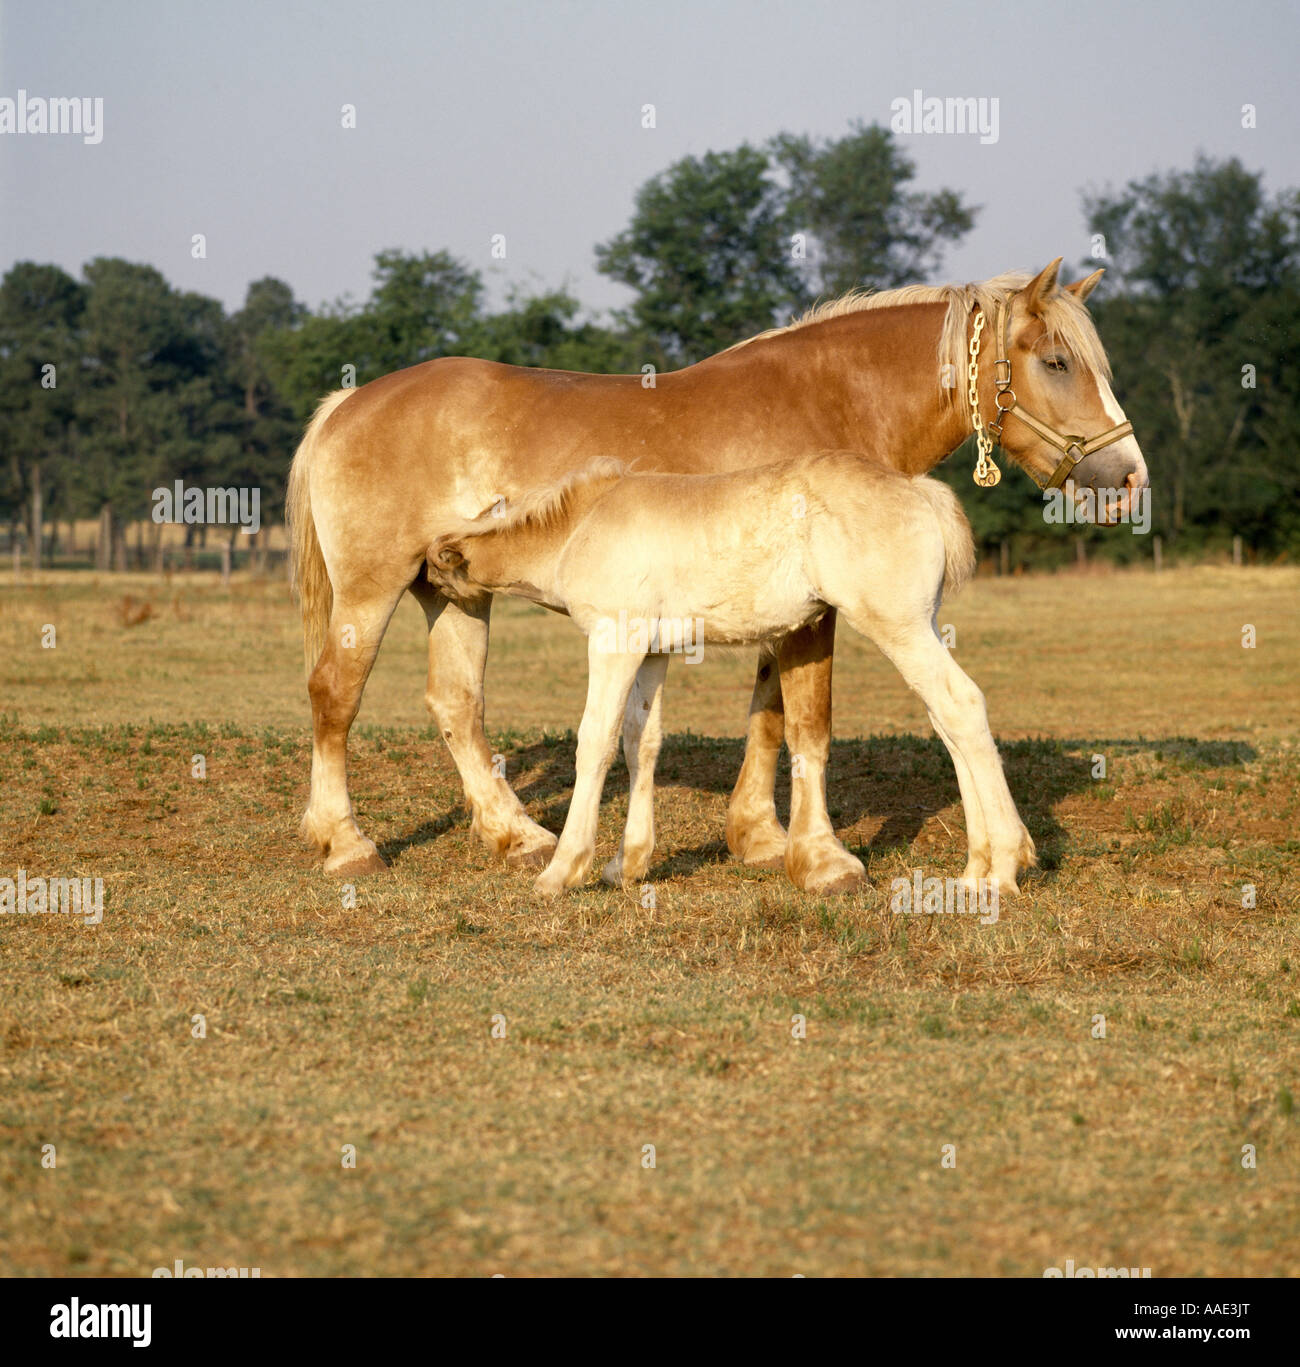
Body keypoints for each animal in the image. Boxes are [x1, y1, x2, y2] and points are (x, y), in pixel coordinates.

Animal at [424, 451, 1035, 897]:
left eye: (435, 568)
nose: (432, 598)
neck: (584, 524)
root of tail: (921, 491)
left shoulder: (614, 642)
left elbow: (594, 741)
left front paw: (561, 872)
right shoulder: (653, 653)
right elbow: (641, 742)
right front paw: (627, 866)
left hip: (899, 628)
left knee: (961, 704)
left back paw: (1001, 871)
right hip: (921, 627)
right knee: (947, 723)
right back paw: (975, 869)